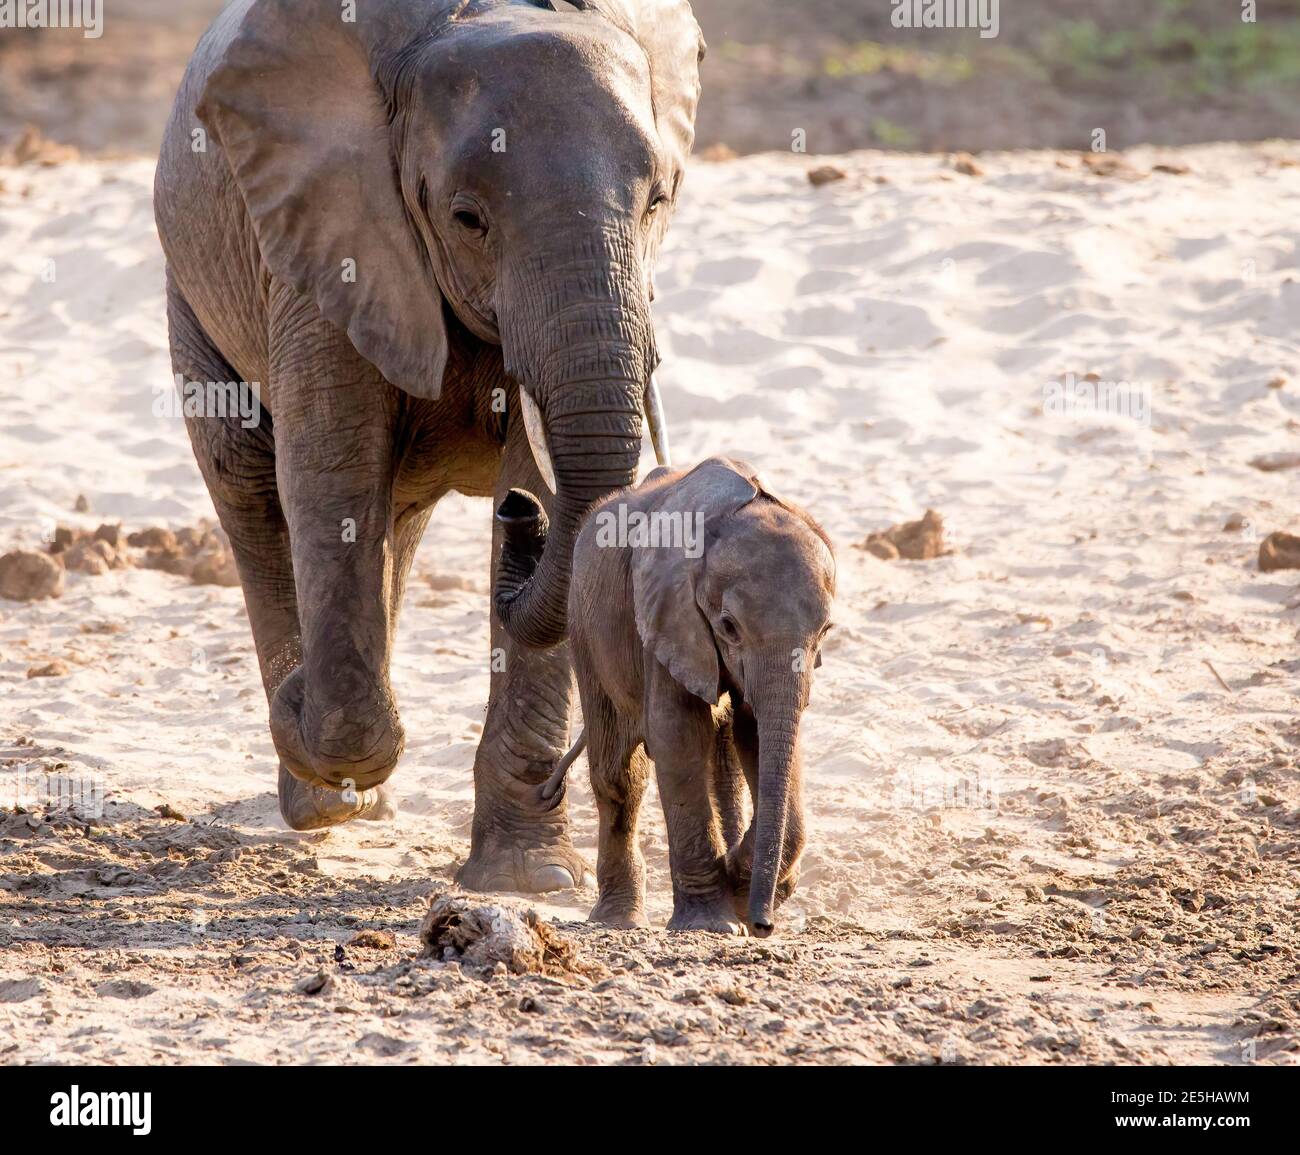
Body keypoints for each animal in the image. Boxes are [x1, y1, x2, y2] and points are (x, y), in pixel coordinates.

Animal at [152, 0, 704, 893]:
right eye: (467, 218)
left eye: (660, 201)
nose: (517, 521)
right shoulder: (323, 235)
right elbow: (328, 478)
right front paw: (307, 718)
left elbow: (539, 470)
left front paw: (528, 878)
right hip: (194, 282)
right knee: (249, 483)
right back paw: (318, 794)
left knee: (396, 519)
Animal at [524, 457, 837, 935]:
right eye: (728, 626)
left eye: (826, 631)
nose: (764, 925)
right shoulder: (668, 615)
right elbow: (679, 736)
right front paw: (716, 921)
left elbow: (756, 734)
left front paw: (742, 883)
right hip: (584, 626)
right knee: (619, 775)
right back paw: (620, 920)